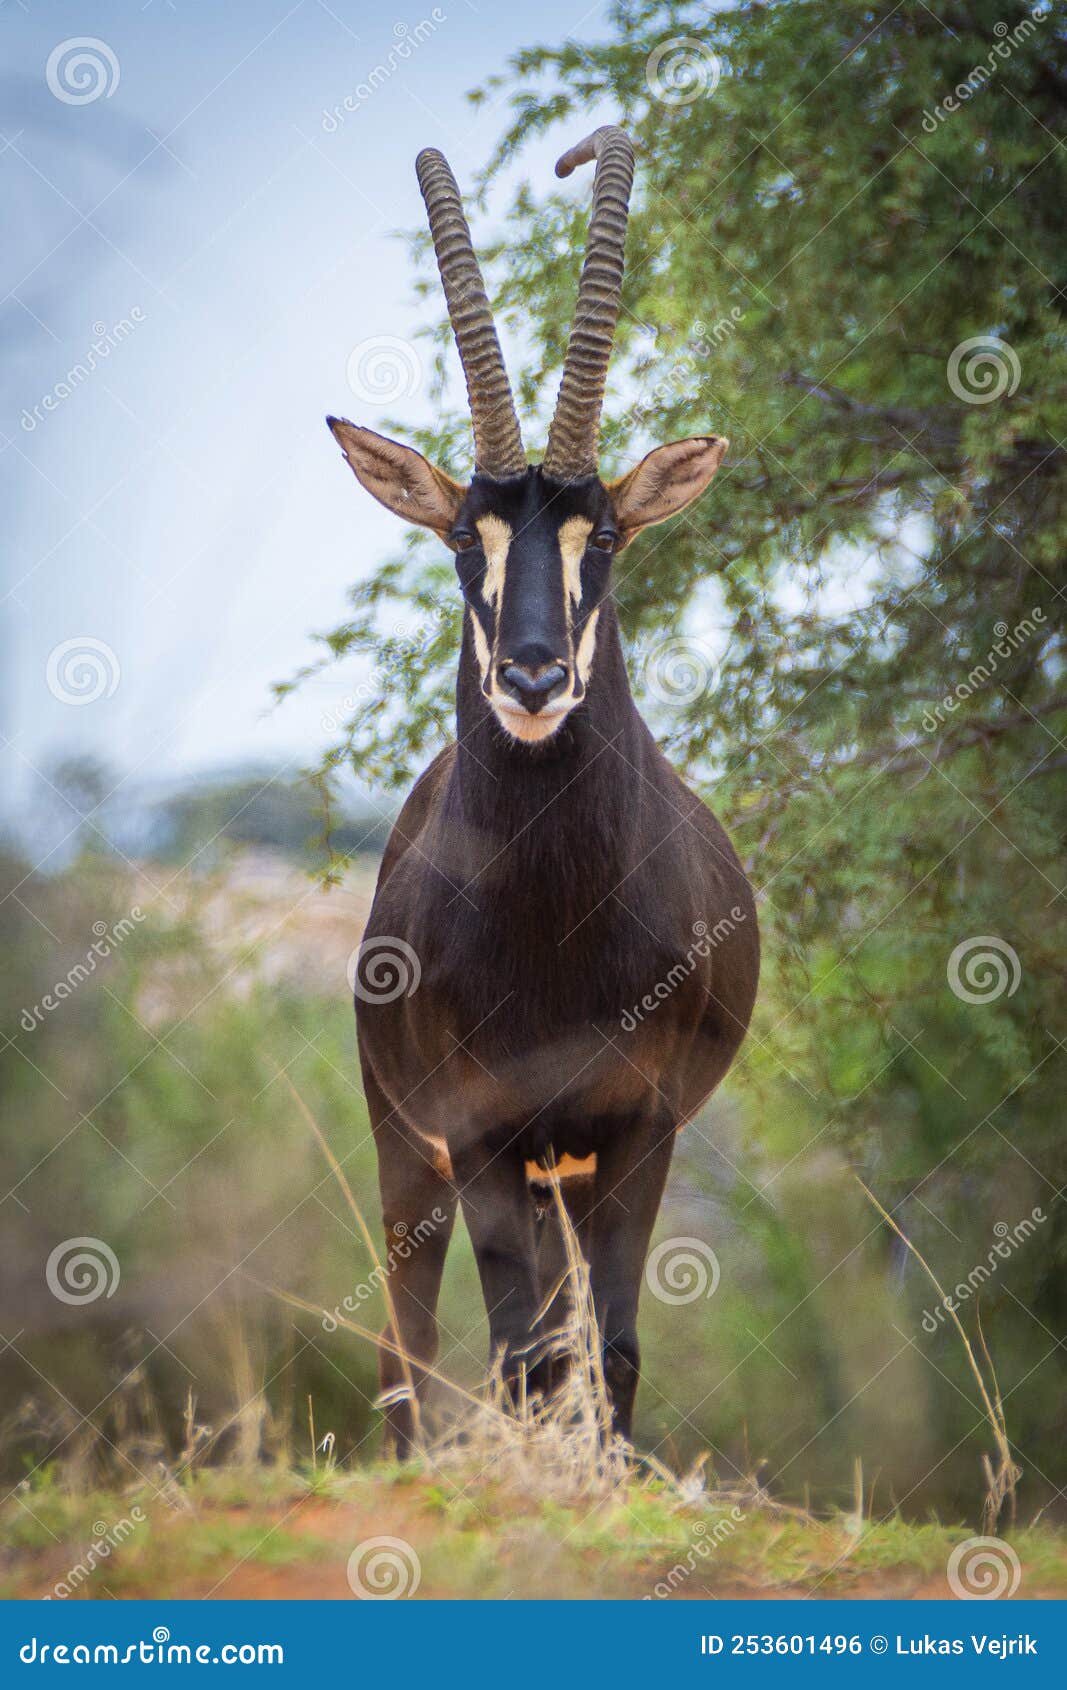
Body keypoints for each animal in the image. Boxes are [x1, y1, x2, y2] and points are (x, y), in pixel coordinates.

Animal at [328, 127, 759, 1455]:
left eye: (602, 534)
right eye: (461, 535)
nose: (529, 676)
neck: (555, 921)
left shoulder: (635, 1130)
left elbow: (605, 1352)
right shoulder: (474, 1135)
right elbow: (520, 1354)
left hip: (558, 1172)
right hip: (411, 1152)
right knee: (409, 1347)